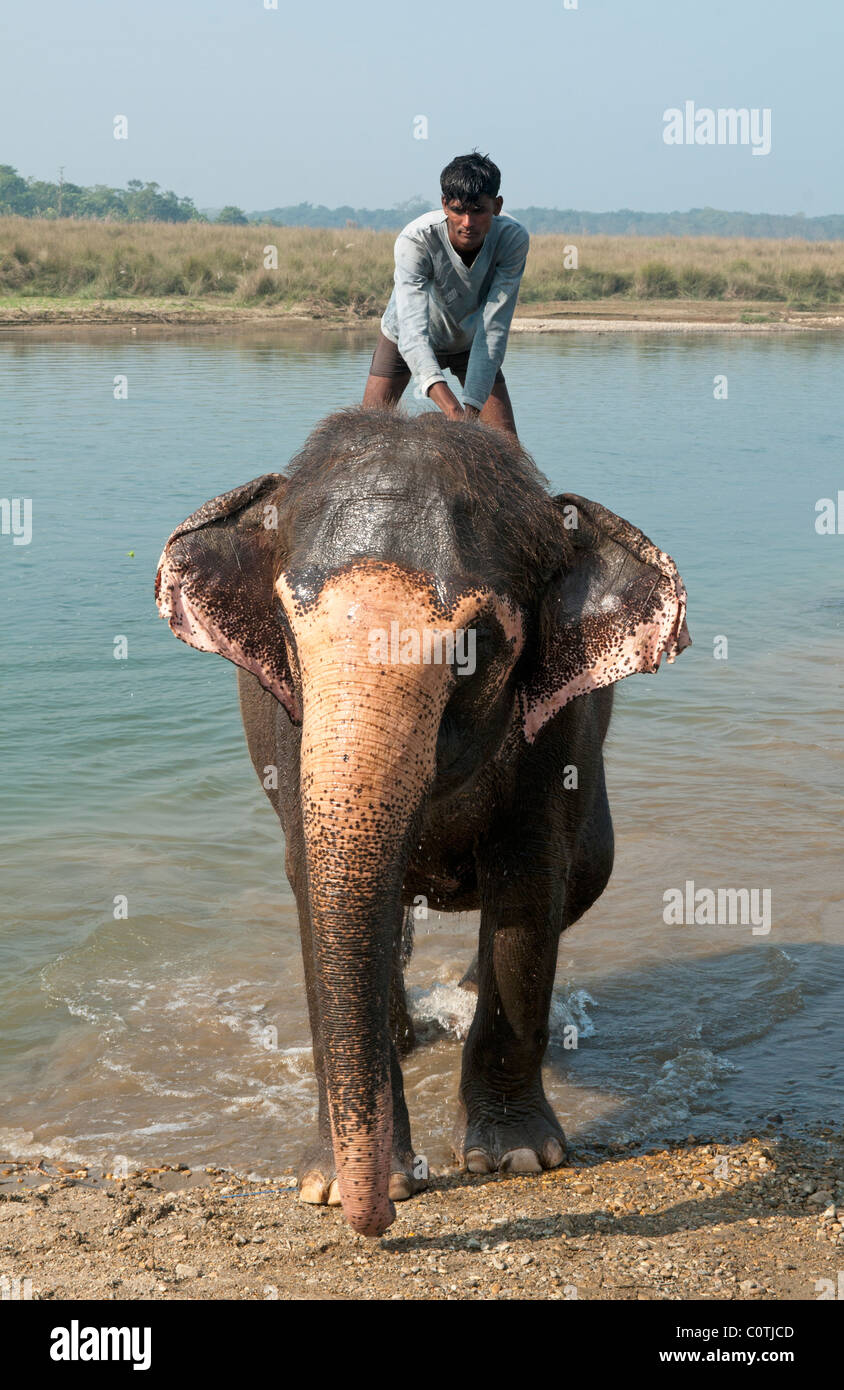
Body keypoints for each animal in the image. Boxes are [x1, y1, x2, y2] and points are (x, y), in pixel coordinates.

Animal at [155, 407, 689, 1238]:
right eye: (292, 635)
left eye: (474, 647)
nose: (376, 1223)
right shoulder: (289, 731)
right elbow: (314, 890)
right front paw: (330, 1184)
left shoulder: (559, 735)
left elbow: (530, 889)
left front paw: (514, 1158)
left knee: (586, 875)